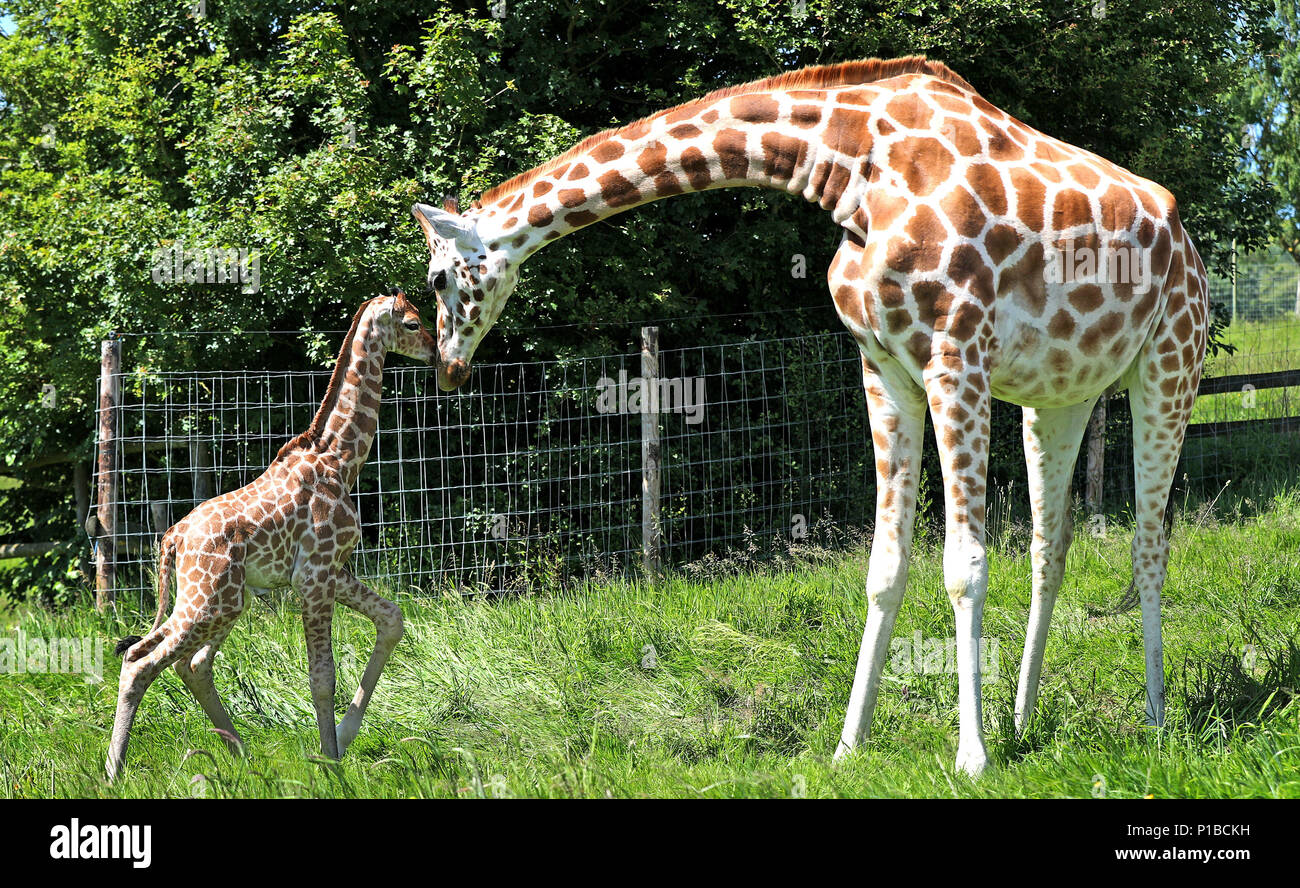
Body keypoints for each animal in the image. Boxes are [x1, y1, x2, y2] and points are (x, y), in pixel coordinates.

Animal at [106, 289, 436, 781]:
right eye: (413, 323)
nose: (437, 353)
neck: (341, 460)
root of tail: (174, 538)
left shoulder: (331, 571)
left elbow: (392, 619)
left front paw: (345, 737)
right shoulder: (314, 577)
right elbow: (322, 676)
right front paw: (331, 762)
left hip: (221, 601)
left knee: (188, 662)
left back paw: (243, 754)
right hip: (209, 603)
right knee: (141, 662)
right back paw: (114, 770)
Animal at [412, 57, 1208, 776]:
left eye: (438, 277)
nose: (449, 367)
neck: (854, 170)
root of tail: (1188, 241)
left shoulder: (957, 356)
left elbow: (964, 566)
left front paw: (972, 758)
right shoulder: (882, 367)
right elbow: (885, 566)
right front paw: (849, 746)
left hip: (1171, 362)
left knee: (1149, 540)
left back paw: (1155, 718)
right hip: (1060, 395)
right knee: (1053, 544)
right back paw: (1024, 718)